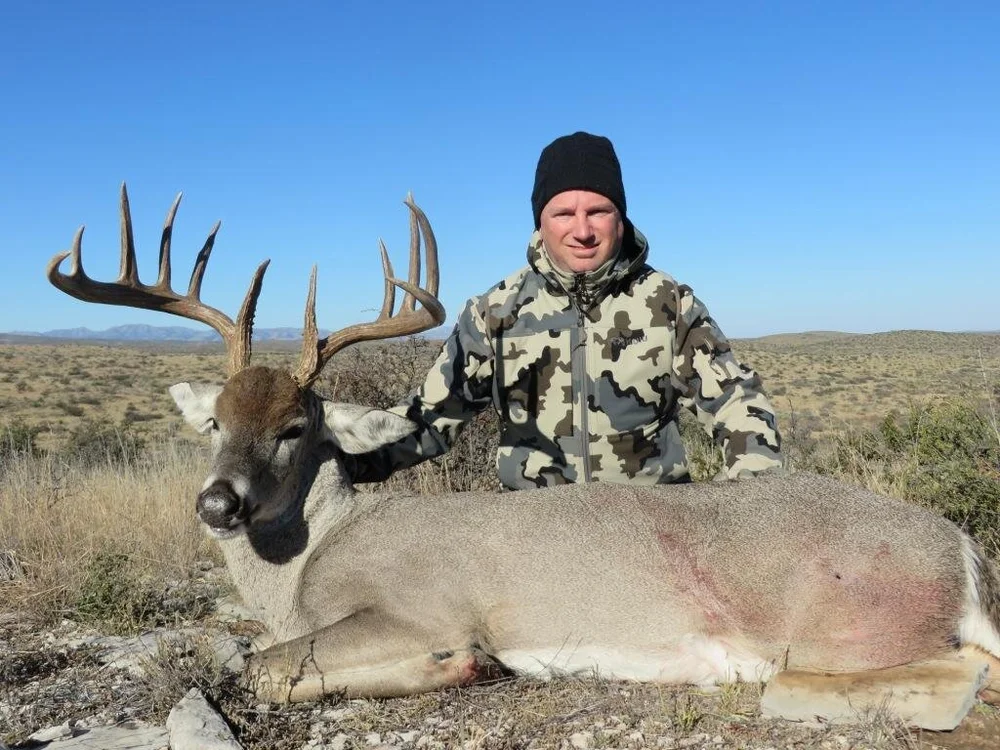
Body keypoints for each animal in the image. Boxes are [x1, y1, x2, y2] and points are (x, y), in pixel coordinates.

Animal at [48, 185, 1000, 730]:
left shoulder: (419, 607)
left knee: (947, 671)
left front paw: (462, 667)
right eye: (214, 422)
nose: (218, 503)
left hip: (844, 622)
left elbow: (264, 671)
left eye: (294, 427)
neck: (311, 564)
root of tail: (957, 548)